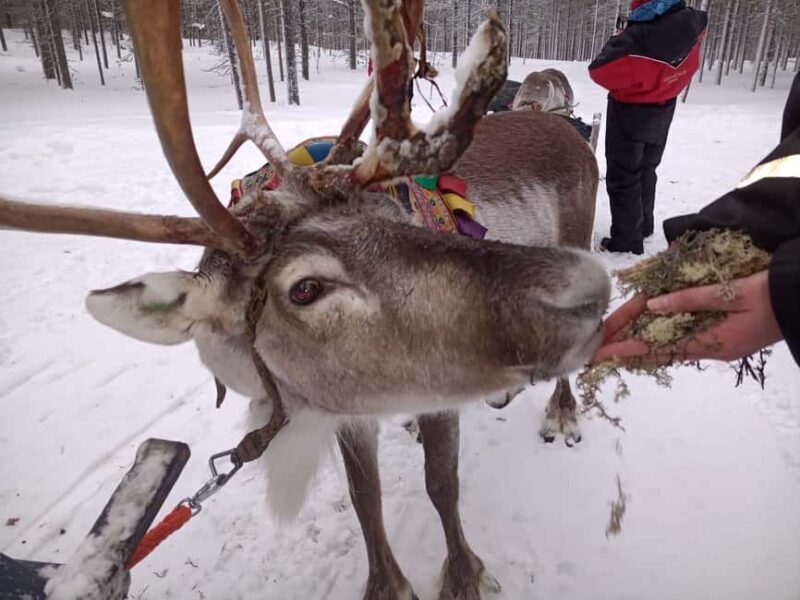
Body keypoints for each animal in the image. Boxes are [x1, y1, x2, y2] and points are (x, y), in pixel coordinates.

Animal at [0, 0, 608, 598]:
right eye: (305, 287)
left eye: (396, 215)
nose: (586, 289)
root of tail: (556, 121)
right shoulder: (348, 405)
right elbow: (366, 497)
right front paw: (387, 586)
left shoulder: (432, 399)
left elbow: (441, 485)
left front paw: (464, 578)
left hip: (577, 233)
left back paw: (561, 414)